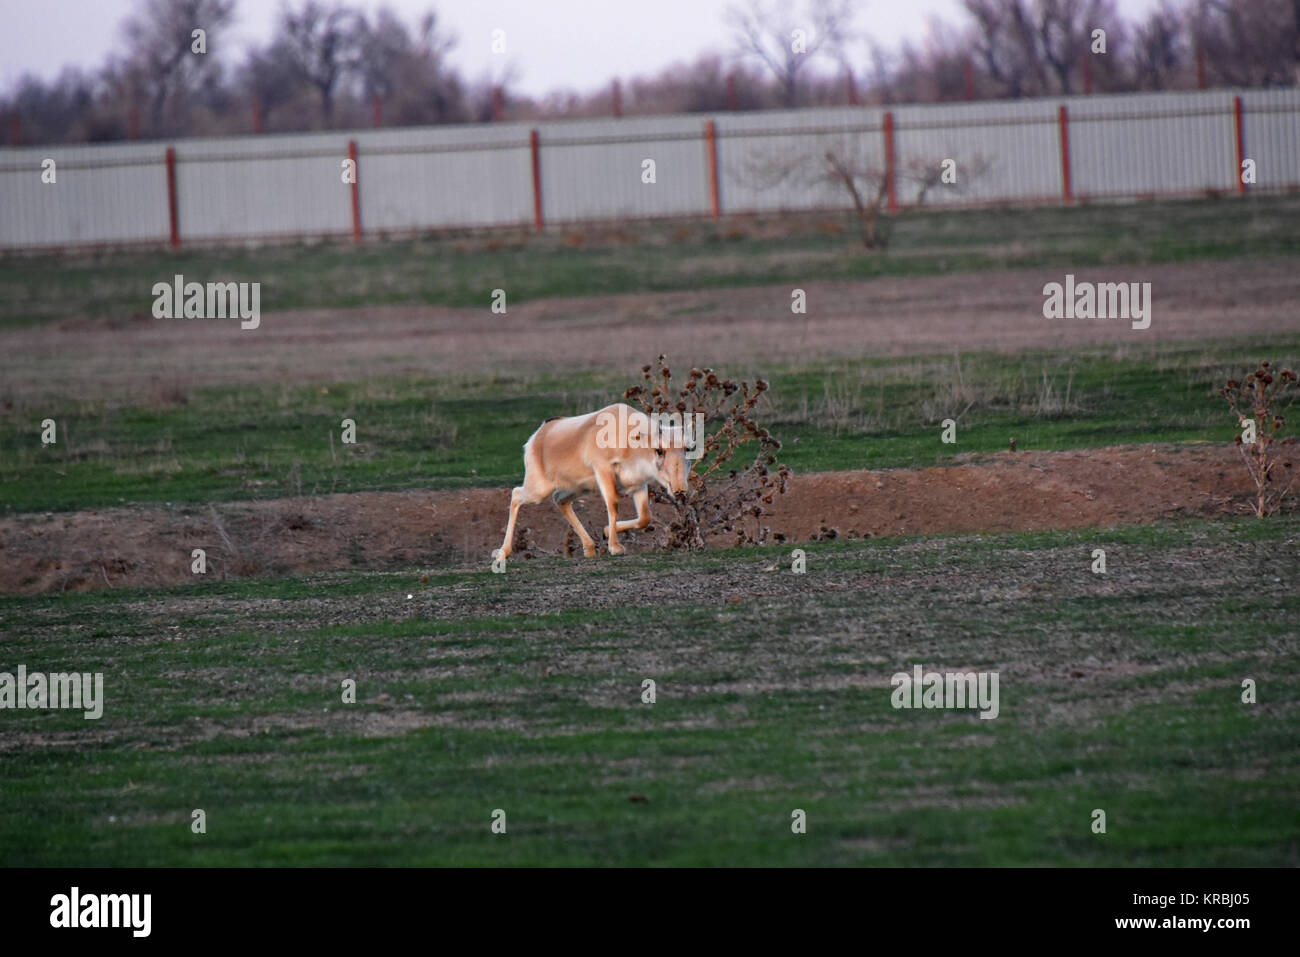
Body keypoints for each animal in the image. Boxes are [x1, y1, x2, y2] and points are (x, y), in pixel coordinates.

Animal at [496, 403, 691, 559]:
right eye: (659, 450)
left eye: (688, 448)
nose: (680, 489)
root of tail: (540, 432)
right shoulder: (603, 470)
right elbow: (613, 504)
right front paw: (615, 547)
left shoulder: (638, 484)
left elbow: (645, 518)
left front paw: (605, 532)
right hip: (538, 490)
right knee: (516, 494)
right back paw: (503, 553)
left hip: (577, 489)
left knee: (560, 500)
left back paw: (589, 549)